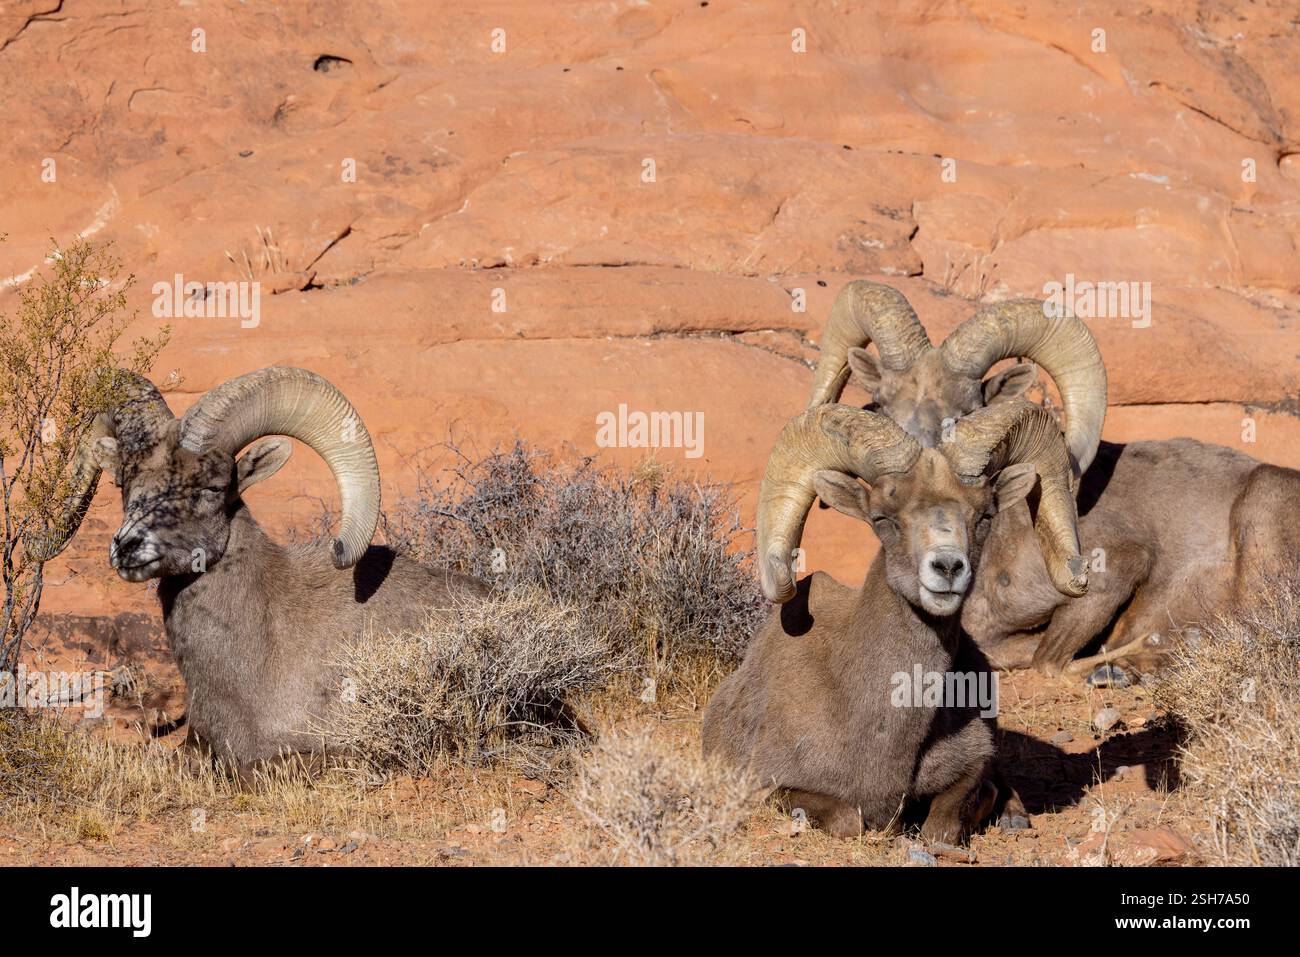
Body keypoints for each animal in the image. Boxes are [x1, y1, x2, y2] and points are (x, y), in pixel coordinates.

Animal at [702, 399, 1088, 841]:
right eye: (882, 518)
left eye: (985, 515)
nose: (948, 569)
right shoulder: (773, 786)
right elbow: (848, 819)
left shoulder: (970, 767)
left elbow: (945, 822)